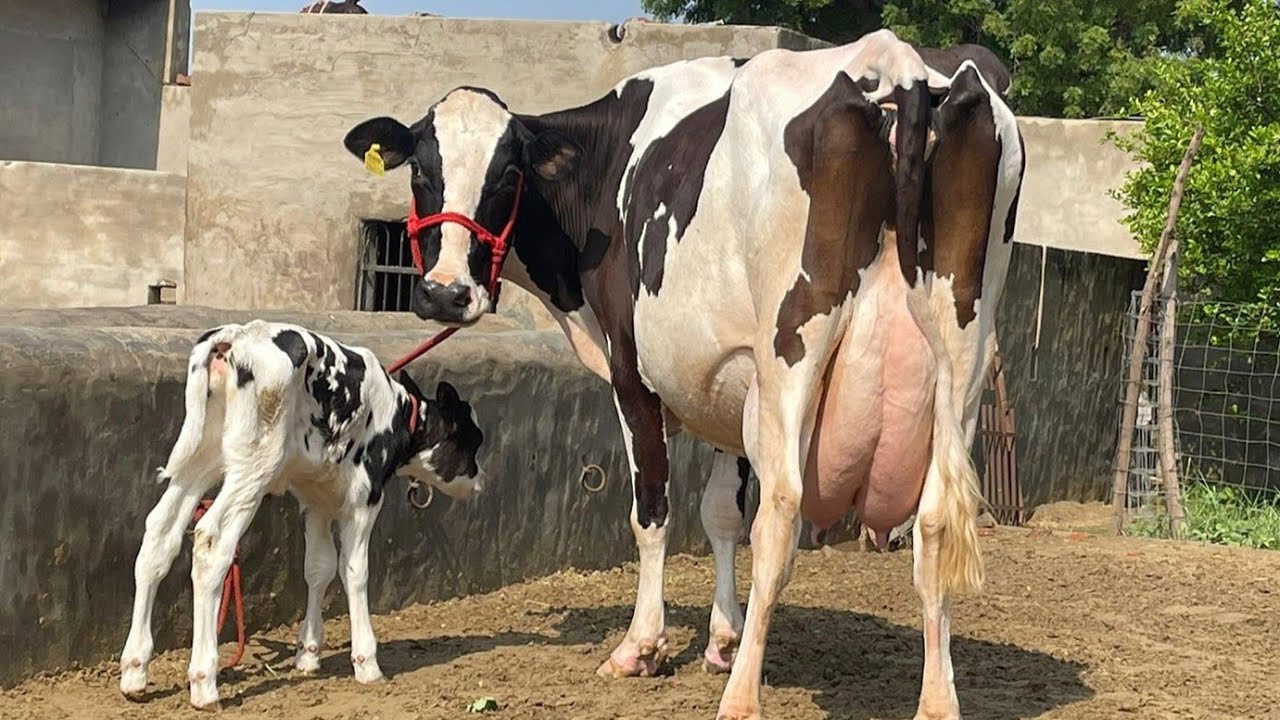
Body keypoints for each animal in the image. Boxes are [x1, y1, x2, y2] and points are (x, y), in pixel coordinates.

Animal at [117, 320, 486, 710]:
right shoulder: (364, 499)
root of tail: (236, 336)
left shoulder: (315, 500)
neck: (396, 412)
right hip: (254, 465)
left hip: (204, 455)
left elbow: (319, 567)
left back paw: (135, 671)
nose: (480, 481)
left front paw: (308, 653)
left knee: (159, 535)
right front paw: (366, 663)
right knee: (211, 539)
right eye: (474, 439)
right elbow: (355, 571)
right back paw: (204, 682)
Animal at [343, 29, 1024, 719]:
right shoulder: (733, 376)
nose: (445, 294)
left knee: (780, 515)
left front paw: (642, 647)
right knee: (935, 522)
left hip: (795, 346)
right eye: (421, 170)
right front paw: (722, 637)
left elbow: (652, 511)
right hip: (963, 356)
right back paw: (936, 701)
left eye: (508, 174)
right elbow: (720, 511)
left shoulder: (632, 369)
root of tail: (899, 65)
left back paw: (741, 697)